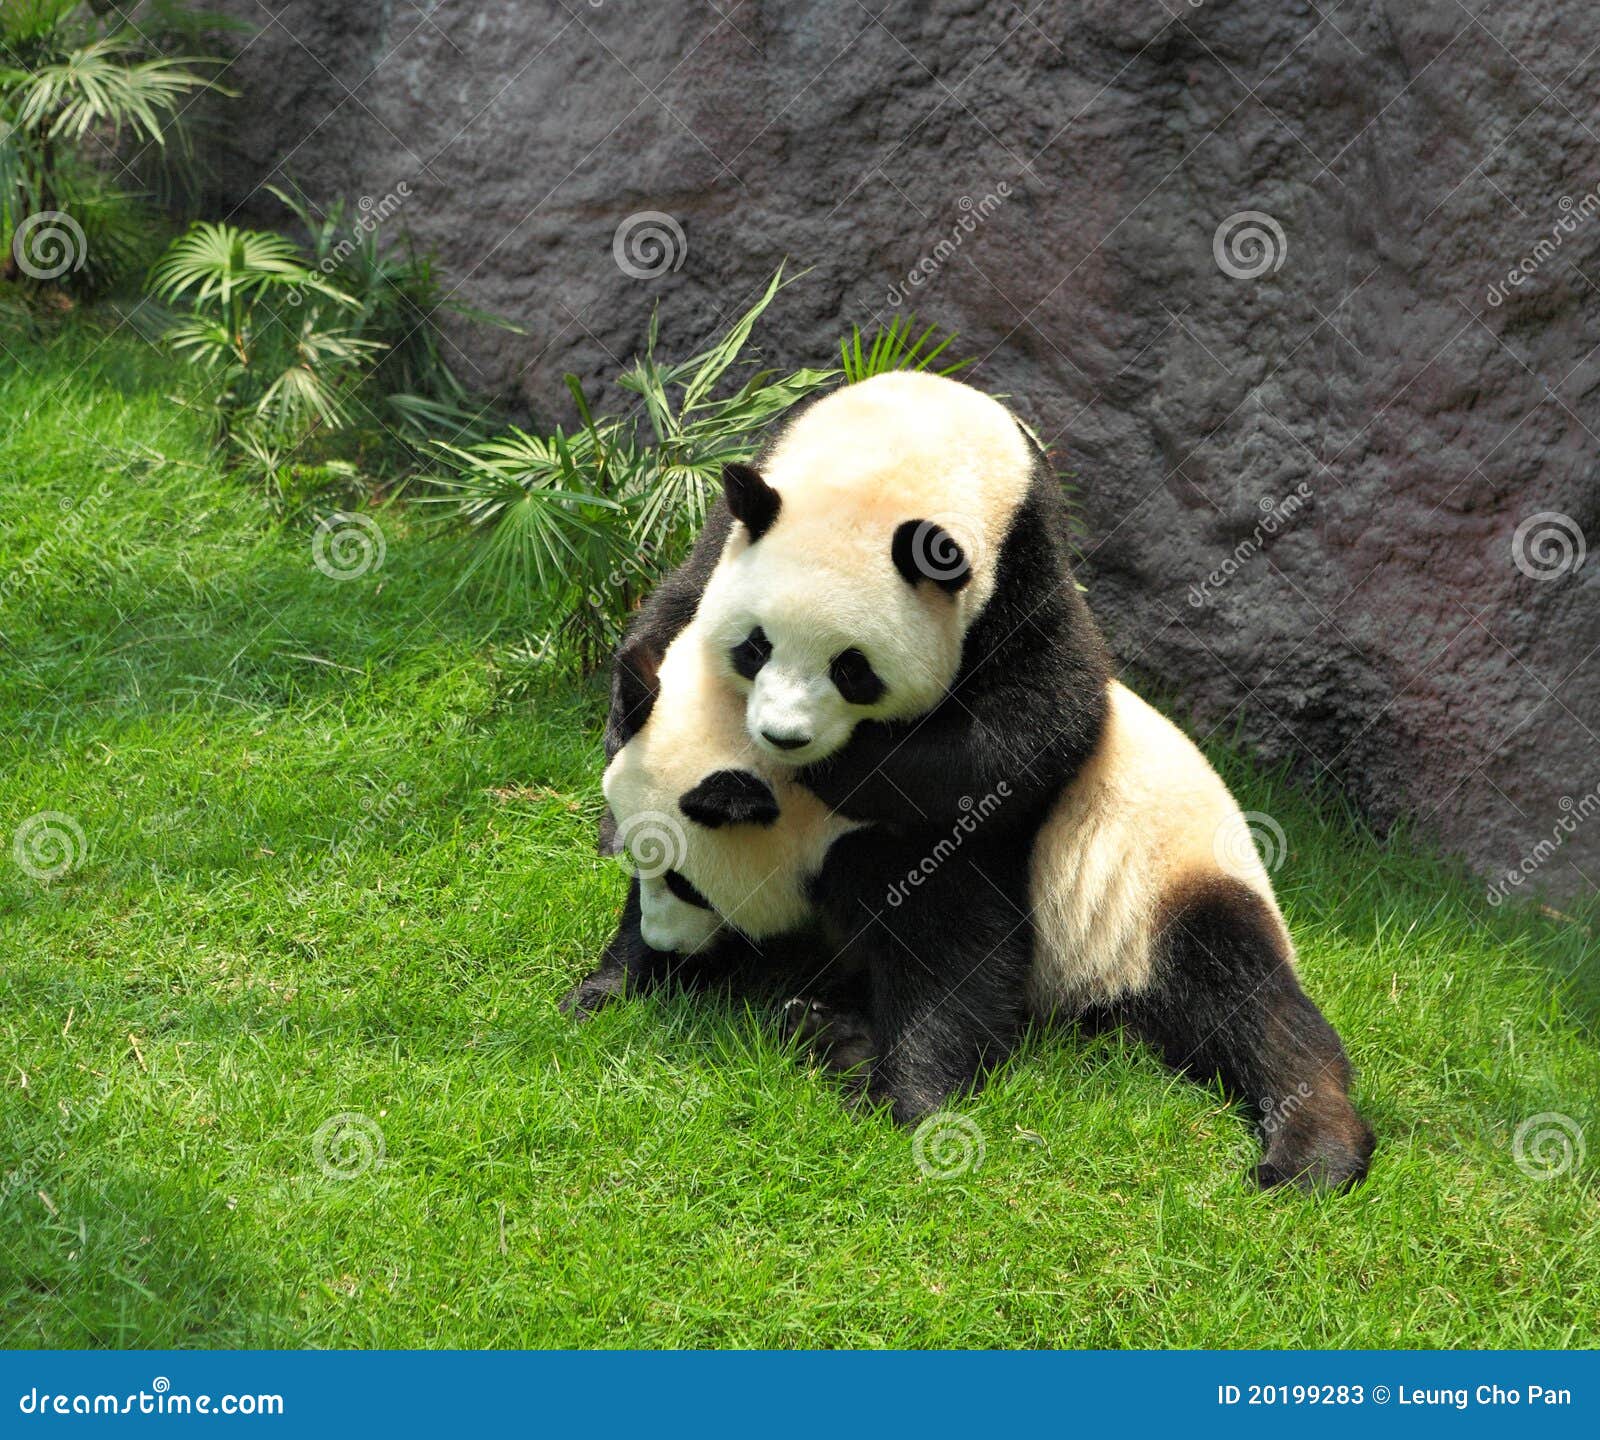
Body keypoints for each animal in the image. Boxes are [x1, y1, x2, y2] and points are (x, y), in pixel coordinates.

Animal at [566, 372, 1372, 1189]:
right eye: (754, 647)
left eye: (851, 670)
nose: (783, 737)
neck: (912, 440)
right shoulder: (734, 531)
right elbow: (679, 603)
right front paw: (608, 986)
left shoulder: (1015, 609)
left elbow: (968, 925)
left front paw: (904, 1101)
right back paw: (820, 1021)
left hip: (1160, 888)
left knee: (1243, 999)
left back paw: (1311, 1150)